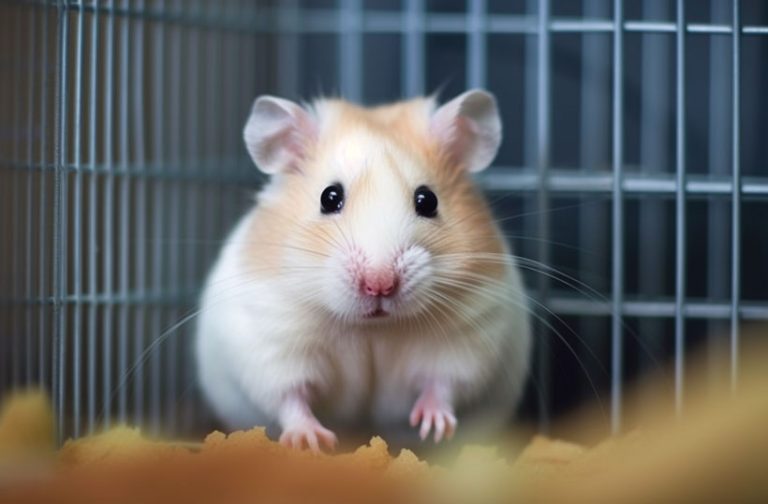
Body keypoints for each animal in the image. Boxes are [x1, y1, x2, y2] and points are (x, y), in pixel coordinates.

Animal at [195, 89, 531, 451]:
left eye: (427, 200)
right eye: (329, 197)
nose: (379, 285)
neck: (373, 329)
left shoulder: (468, 335)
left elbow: (444, 383)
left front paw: (434, 425)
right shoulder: (272, 340)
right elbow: (288, 396)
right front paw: (311, 440)